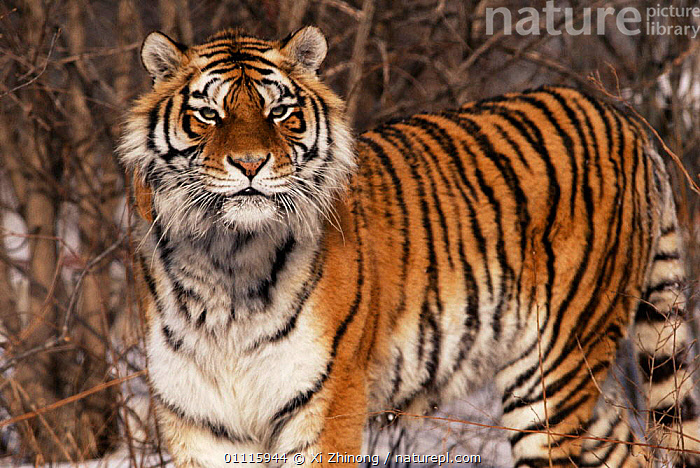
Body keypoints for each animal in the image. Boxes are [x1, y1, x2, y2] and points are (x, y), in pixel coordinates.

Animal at [119, 26, 700, 468]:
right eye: (209, 115)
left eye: (279, 113)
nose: (249, 163)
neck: (226, 261)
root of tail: (622, 114)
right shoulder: (196, 419)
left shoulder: (326, 404)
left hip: (555, 368)